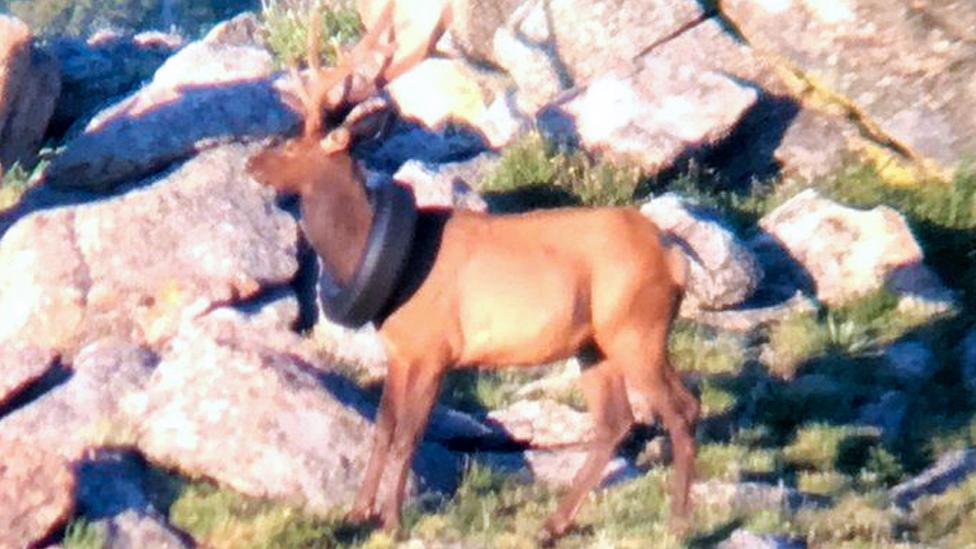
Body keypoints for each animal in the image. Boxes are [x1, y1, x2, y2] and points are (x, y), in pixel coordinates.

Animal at [246, 1, 700, 542]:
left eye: (295, 145)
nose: (253, 161)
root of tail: (674, 257)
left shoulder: (435, 347)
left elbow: (409, 434)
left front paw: (393, 520)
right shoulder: (400, 349)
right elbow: (382, 429)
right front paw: (357, 514)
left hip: (637, 327)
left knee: (681, 407)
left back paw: (677, 523)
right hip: (594, 344)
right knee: (616, 422)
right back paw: (551, 525)